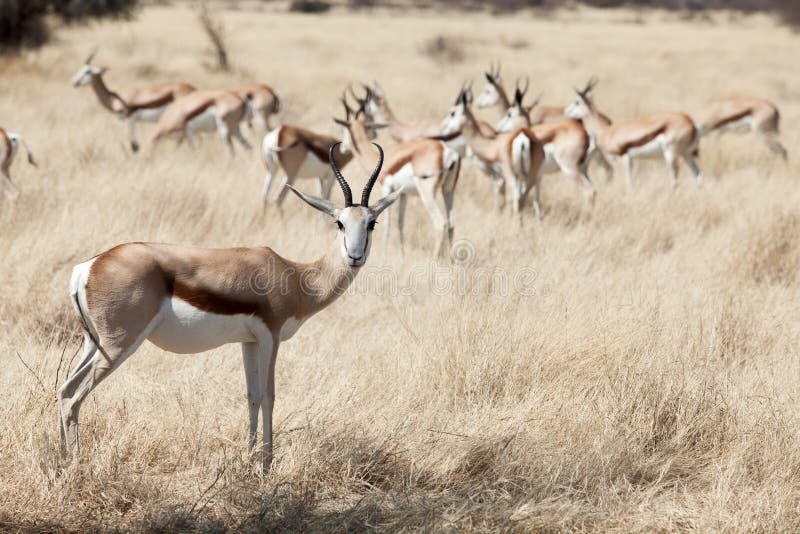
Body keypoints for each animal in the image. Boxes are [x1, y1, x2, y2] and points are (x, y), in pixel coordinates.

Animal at [58, 145, 400, 472]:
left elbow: (251, 396)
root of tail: (88, 266)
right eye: (339, 222)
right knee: (73, 399)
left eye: (371, 222)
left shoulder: (248, 342)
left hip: (93, 343)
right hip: (119, 345)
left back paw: (59, 461)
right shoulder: (270, 336)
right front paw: (266, 465)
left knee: (63, 389)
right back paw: (76, 464)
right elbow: (268, 395)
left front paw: (249, 458)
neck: (296, 276)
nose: (354, 256)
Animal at [341, 91, 461, 257]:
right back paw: (451, 259)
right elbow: (400, 223)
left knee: (440, 223)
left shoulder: (386, 188)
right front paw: (402, 256)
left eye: (344, 131)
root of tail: (446, 151)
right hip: (448, 190)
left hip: (427, 193)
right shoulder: (403, 194)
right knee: (451, 224)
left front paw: (384, 255)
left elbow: (386, 223)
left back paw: (435, 258)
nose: (342, 147)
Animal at [440, 87, 546, 221]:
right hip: (532, 176)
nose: (442, 128)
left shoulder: (501, 175)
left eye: (452, 113)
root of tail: (522, 136)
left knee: (516, 198)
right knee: (527, 199)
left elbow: (503, 193)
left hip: (511, 175)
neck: (493, 145)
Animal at [564, 78, 703, 190]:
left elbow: (628, 182)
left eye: (577, 102)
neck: (607, 131)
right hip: (686, 154)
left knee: (675, 180)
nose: (566, 112)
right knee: (699, 176)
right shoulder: (630, 159)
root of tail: (691, 122)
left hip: (670, 155)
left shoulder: (624, 158)